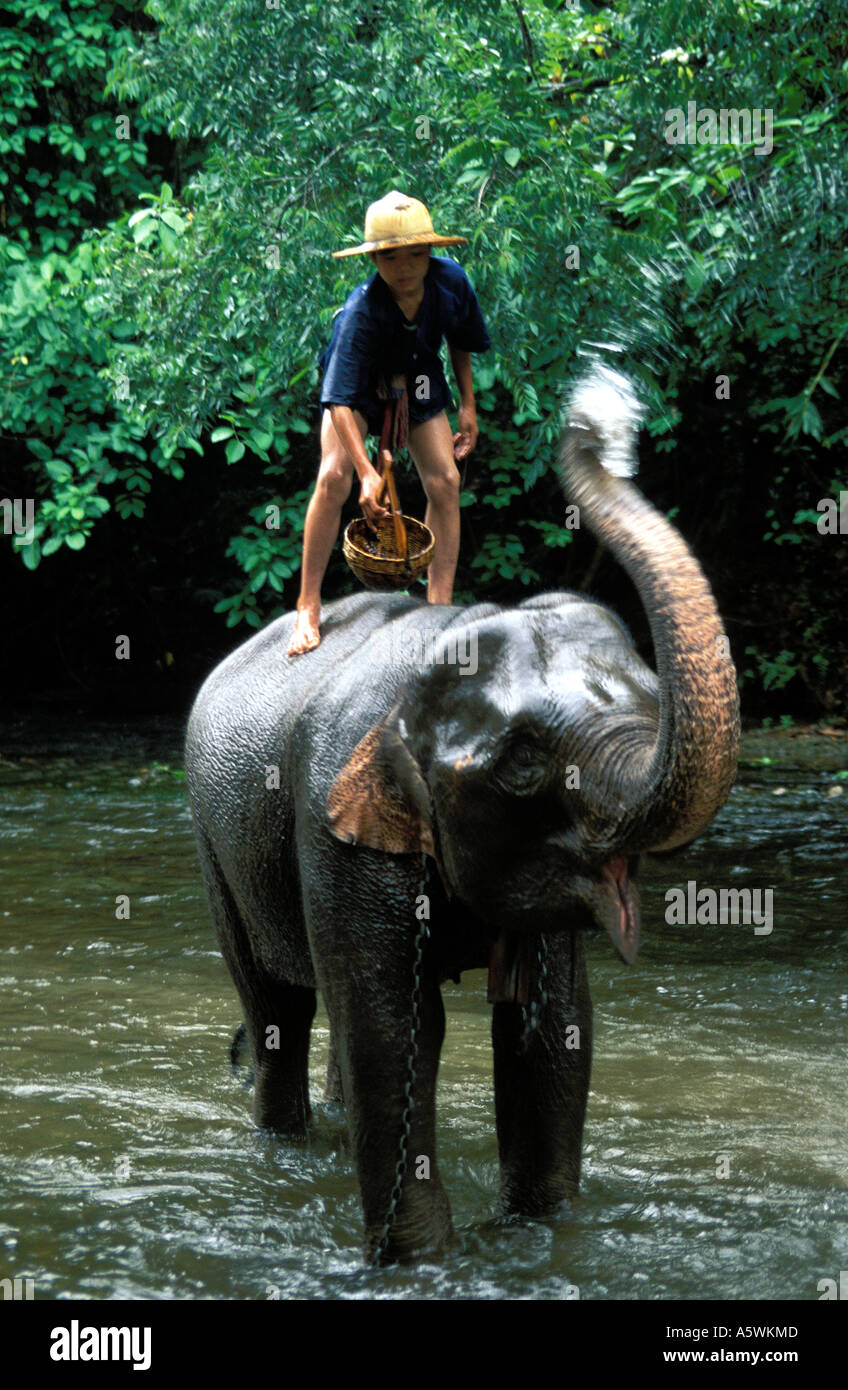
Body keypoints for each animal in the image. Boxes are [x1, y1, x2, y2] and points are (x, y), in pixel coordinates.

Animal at [184, 367, 739, 1265]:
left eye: (654, 704)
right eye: (523, 763)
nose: (598, 421)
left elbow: (551, 1031)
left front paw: (542, 1230)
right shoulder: (333, 828)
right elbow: (397, 1027)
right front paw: (417, 1259)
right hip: (213, 839)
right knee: (278, 1013)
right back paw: (285, 1143)